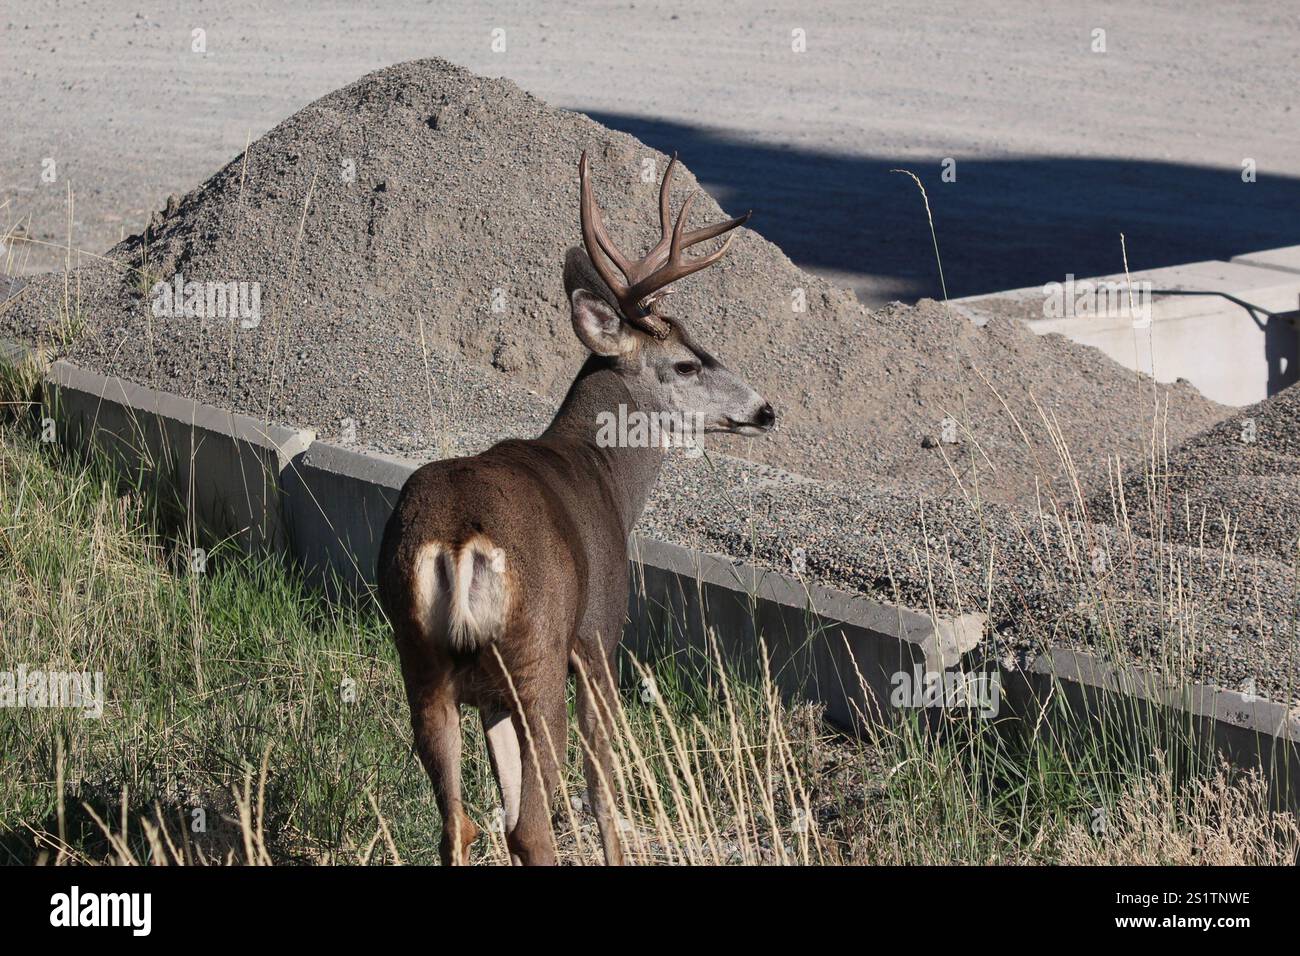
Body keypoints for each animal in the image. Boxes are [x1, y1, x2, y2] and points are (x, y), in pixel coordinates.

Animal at [377, 151, 775, 866]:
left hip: (421, 660)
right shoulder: (599, 636)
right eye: (686, 362)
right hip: (538, 657)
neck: (606, 475)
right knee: (531, 823)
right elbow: (602, 789)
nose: (765, 410)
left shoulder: (488, 693)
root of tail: (456, 543)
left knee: (460, 823)